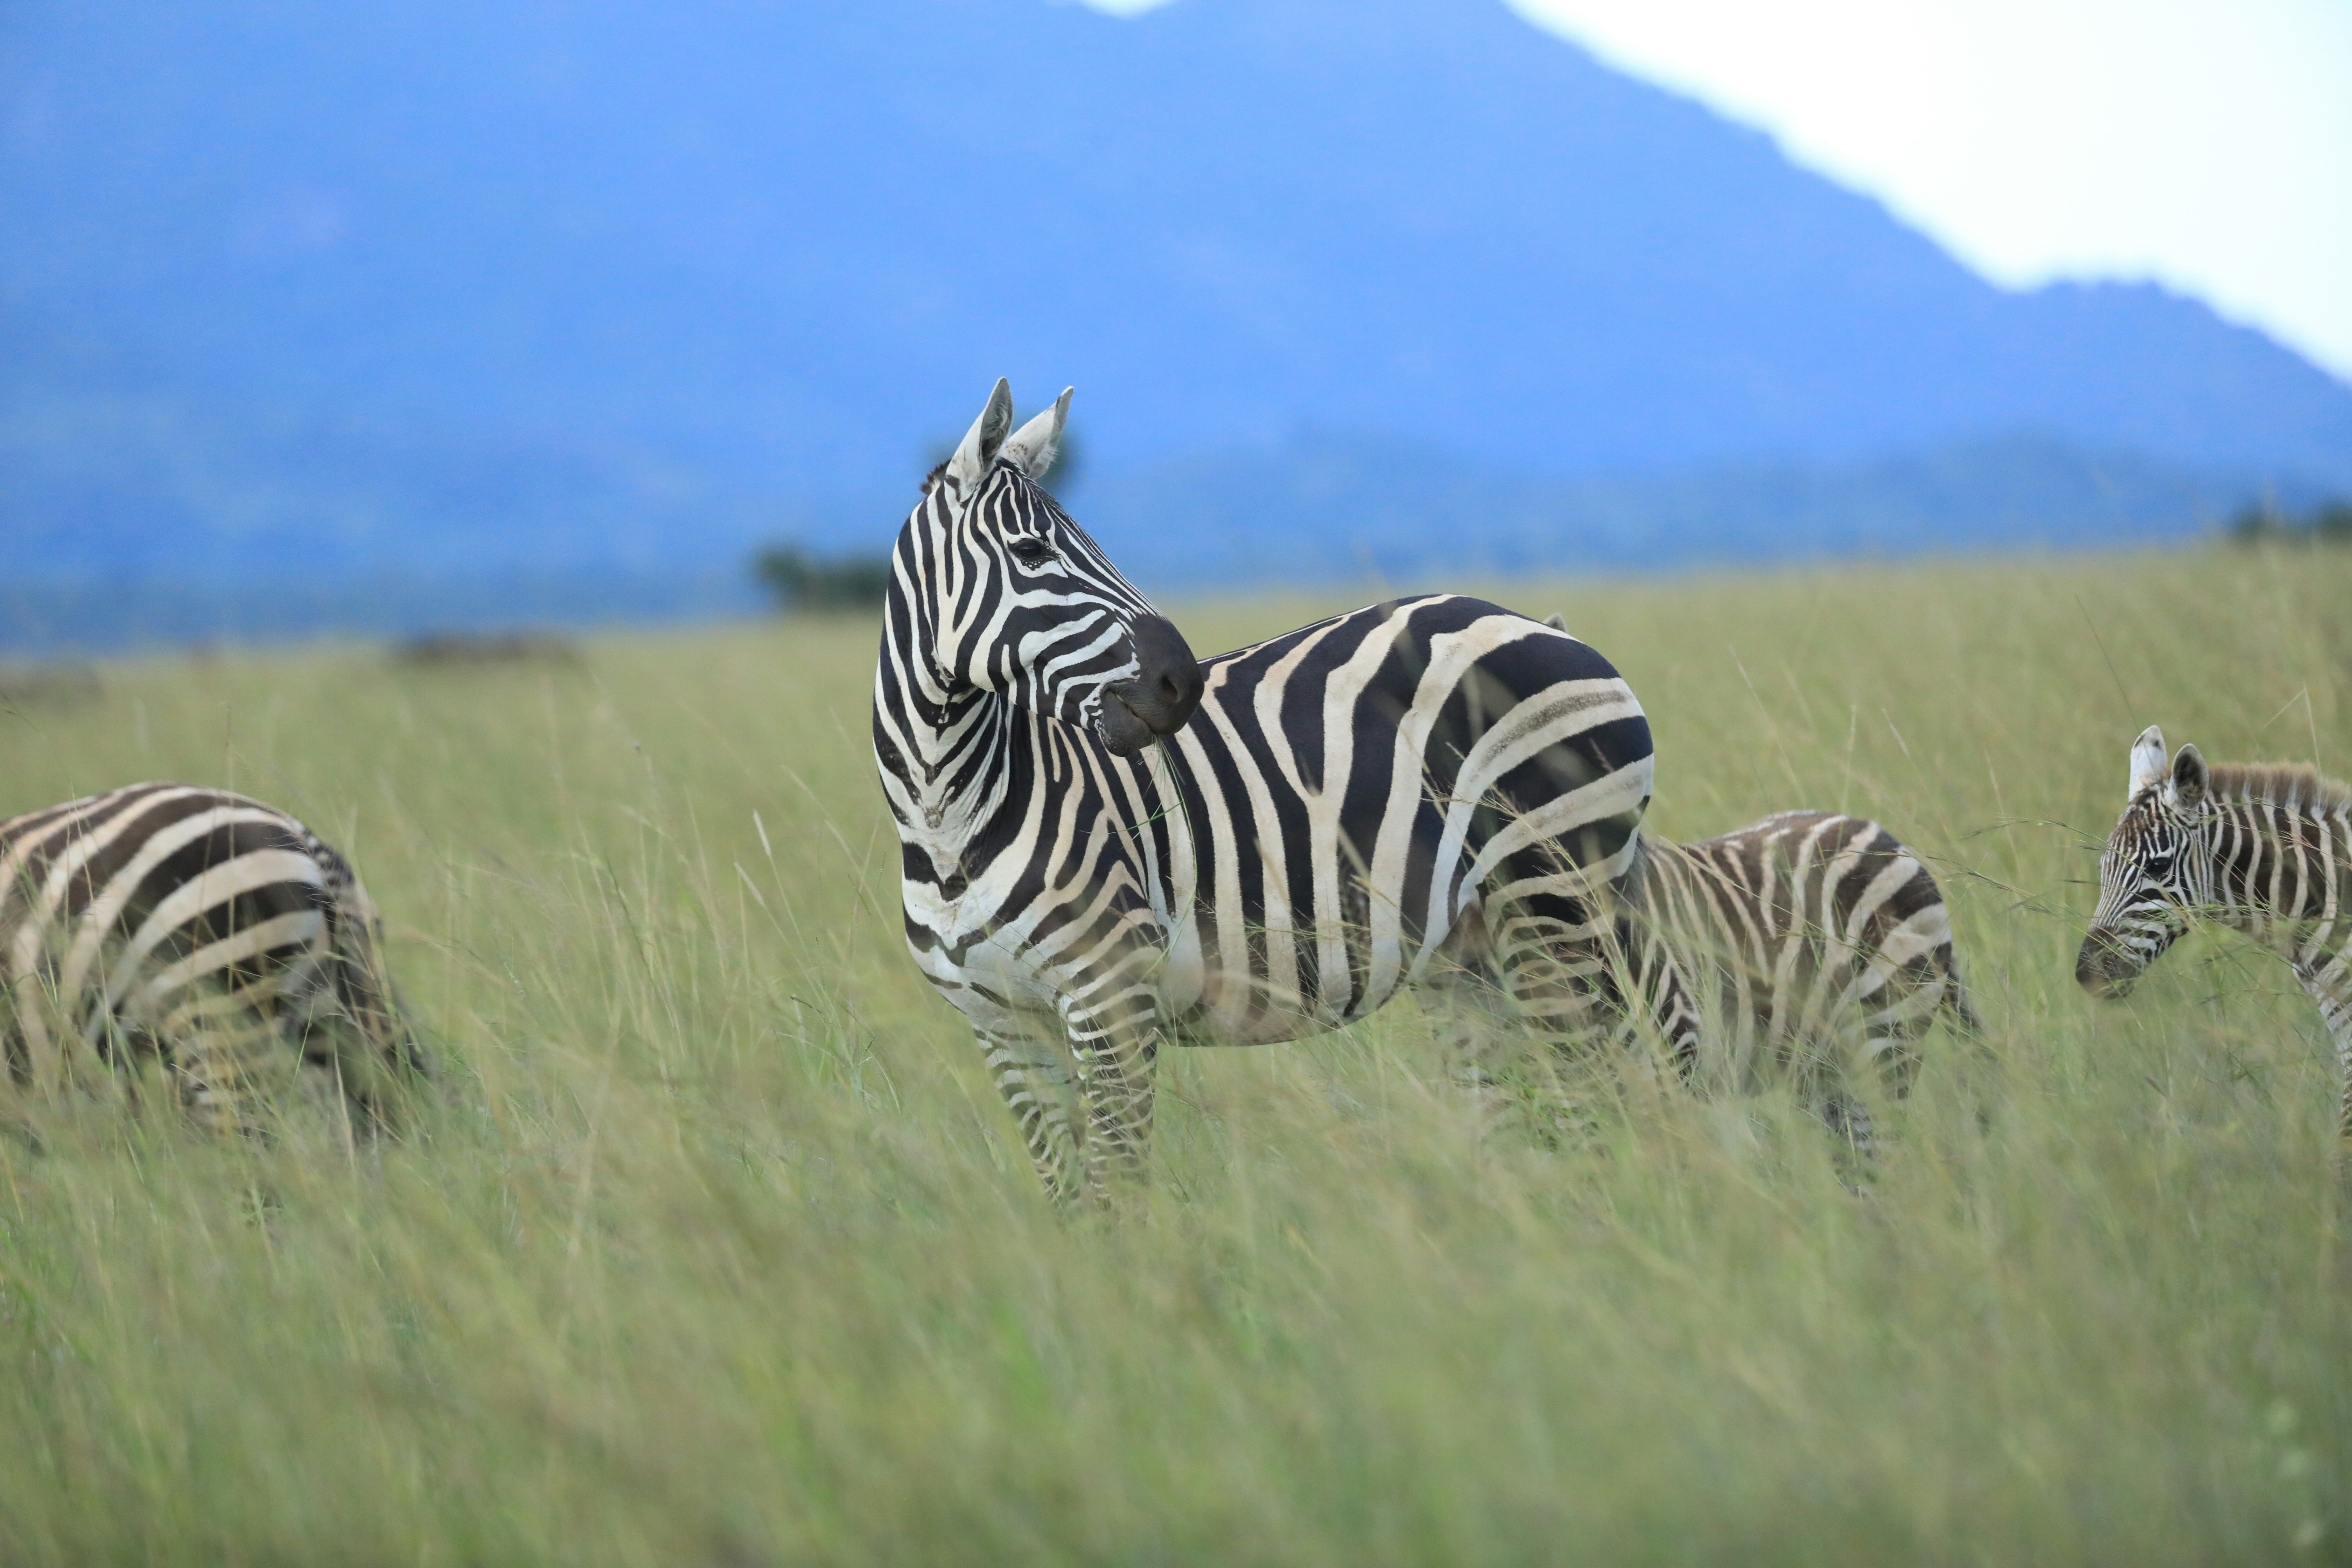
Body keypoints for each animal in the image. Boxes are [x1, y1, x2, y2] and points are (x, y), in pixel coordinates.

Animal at [874, 380, 1664, 1210]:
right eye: (1032, 552)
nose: (1181, 681)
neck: (948, 819)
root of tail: (1547, 629)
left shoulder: (1109, 994)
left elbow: (1118, 1191)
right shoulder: (1003, 1028)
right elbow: (1071, 1200)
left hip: (1557, 898)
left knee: (1594, 1103)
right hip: (1473, 950)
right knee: (1535, 1120)